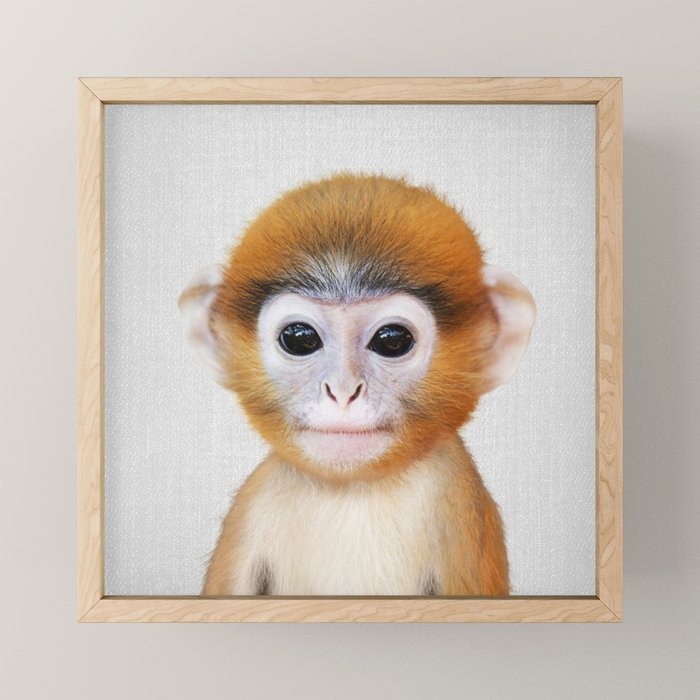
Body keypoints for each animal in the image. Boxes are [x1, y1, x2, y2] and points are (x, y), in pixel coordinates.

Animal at [179, 174, 535, 596]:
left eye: (392, 340)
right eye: (299, 339)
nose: (343, 391)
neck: (353, 489)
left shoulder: (459, 507)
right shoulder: (250, 509)